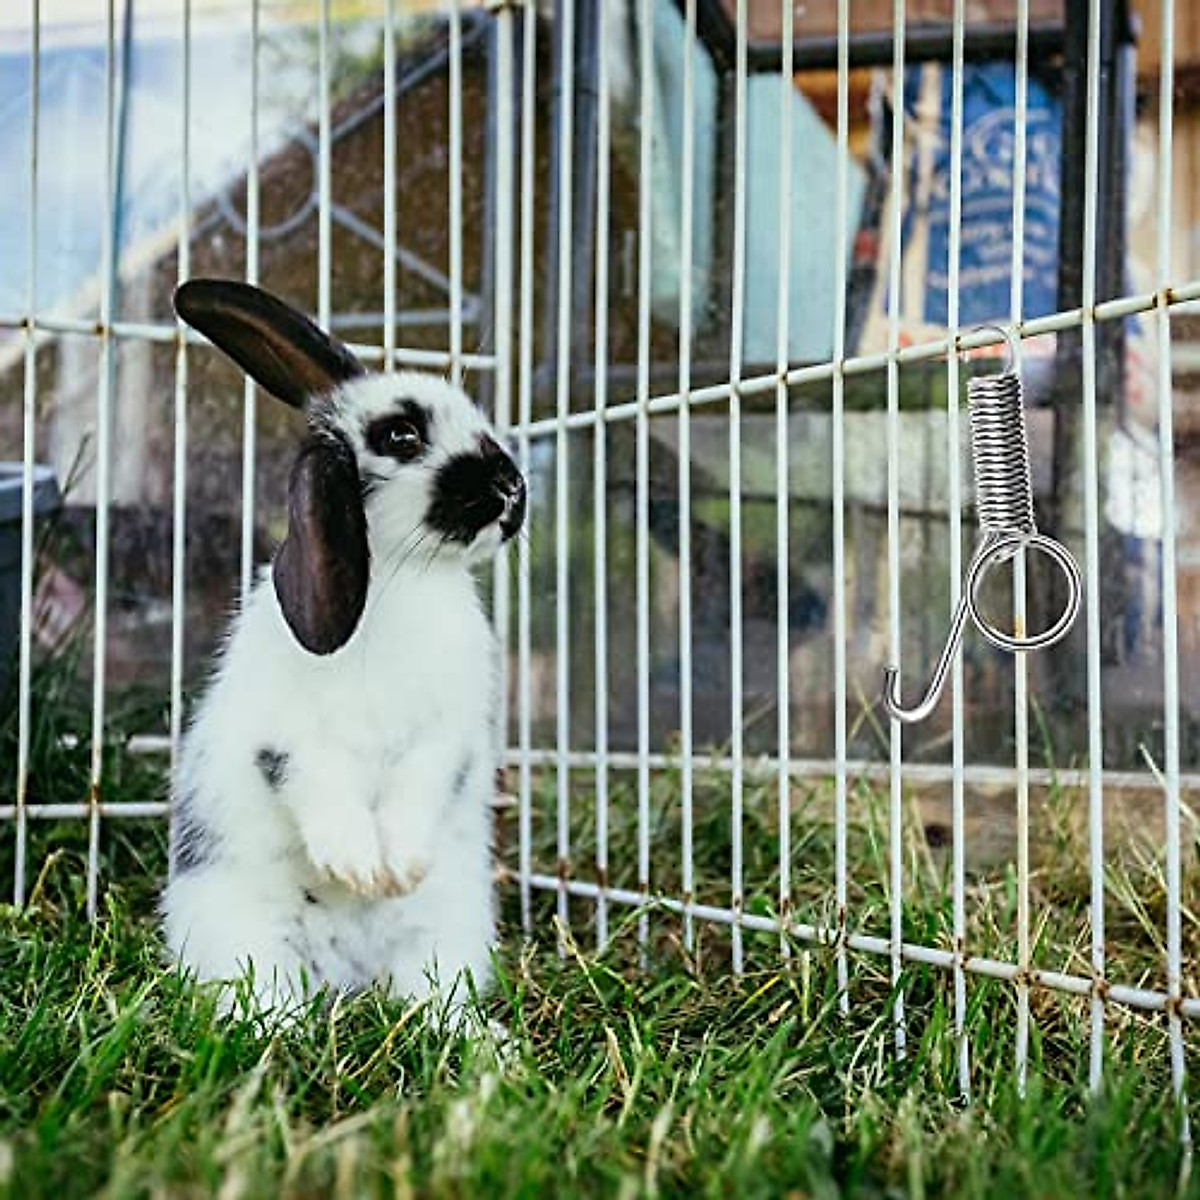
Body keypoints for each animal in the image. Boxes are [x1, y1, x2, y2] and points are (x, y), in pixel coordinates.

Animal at [160, 279, 525, 1022]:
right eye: (401, 436)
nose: (511, 489)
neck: (402, 577)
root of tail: (349, 975)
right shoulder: (289, 739)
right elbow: (321, 783)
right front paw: (357, 867)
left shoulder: (445, 735)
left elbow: (419, 784)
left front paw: (398, 869)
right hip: (241, 933)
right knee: (266, 995)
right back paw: (276, 1030)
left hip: (448, 933)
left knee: (433, 1000)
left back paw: (480, 1039)